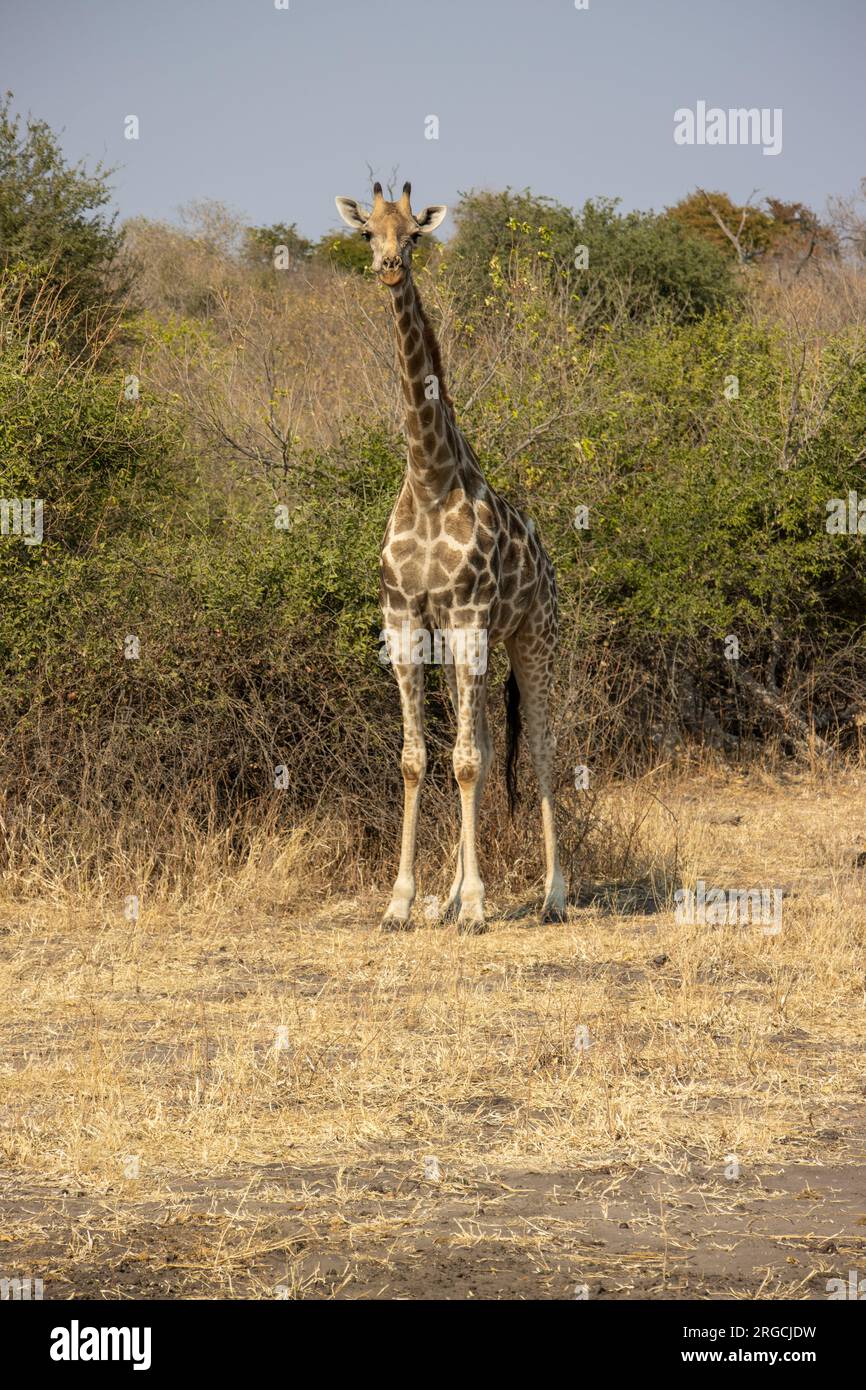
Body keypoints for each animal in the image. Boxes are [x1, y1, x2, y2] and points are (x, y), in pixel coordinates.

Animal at [335, 181, 566, 934]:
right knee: (491, 748)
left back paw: (553, 895)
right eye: (366, 233)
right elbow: (418, 760)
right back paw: (458, 892)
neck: (430, 479)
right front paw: (405, 903)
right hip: (484, 643)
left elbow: (462, 762)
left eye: (414, 235)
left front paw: (474, 909)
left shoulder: (466, 616)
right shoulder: (405, 619)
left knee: (541, 747)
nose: (388, 268)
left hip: (532, 637)